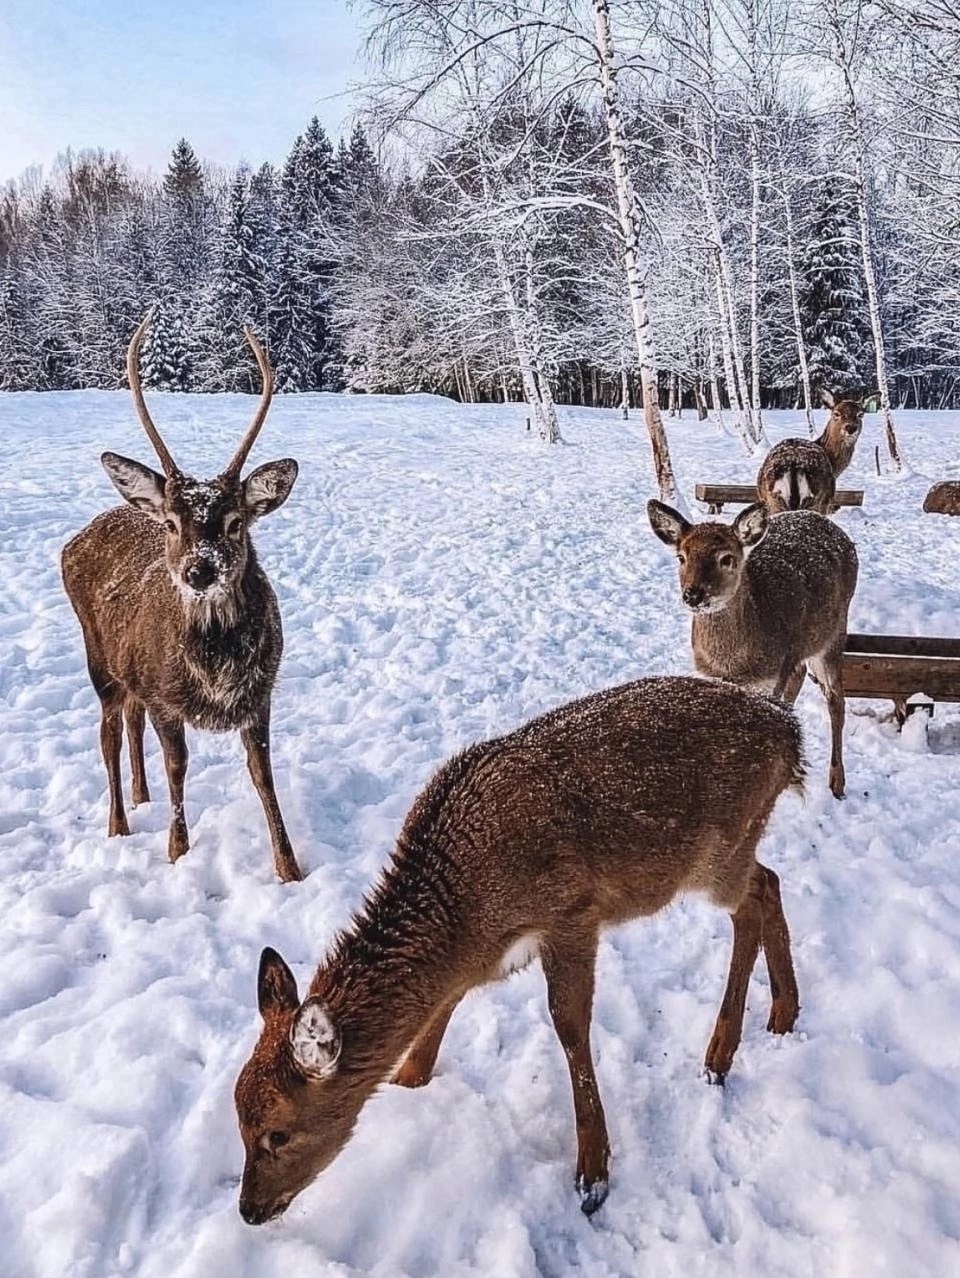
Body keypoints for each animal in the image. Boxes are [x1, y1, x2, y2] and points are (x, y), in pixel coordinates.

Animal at [61, 314, 301, 884]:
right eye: (171, 523)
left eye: (236, 522)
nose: (199, 569)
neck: (215, 677)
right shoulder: (165, 696)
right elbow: (178, 766)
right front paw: (177, 852)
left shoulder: (261, 693)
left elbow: (263, 776)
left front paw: (289, 868)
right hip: (98, 659)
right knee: (108, 733)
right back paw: (119, 824)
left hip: (129, 671)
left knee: (129, 720)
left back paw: (139, 795)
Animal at [235, 674, 802, 1221]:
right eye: (238, 1119)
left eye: (278, 1132)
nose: (249, 1210)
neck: (467, 906)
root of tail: (790, 733)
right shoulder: (482, 955)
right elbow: (441, 1013)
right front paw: (406, 1084)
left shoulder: (572, 911)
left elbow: (569, 1025)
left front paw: (593, 1177)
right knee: (770, 881)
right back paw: (782, 1015)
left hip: (718, 852)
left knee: (753, 900)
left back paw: (719, 1057)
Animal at [649, 498, 859, 797]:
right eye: (681, 557)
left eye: (726, 558)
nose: (693, 594)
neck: (734, 665)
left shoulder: (770, 678)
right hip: (800, 649)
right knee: (799, 676)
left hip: (833, 634)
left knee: (835, 699)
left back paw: (837, 781)